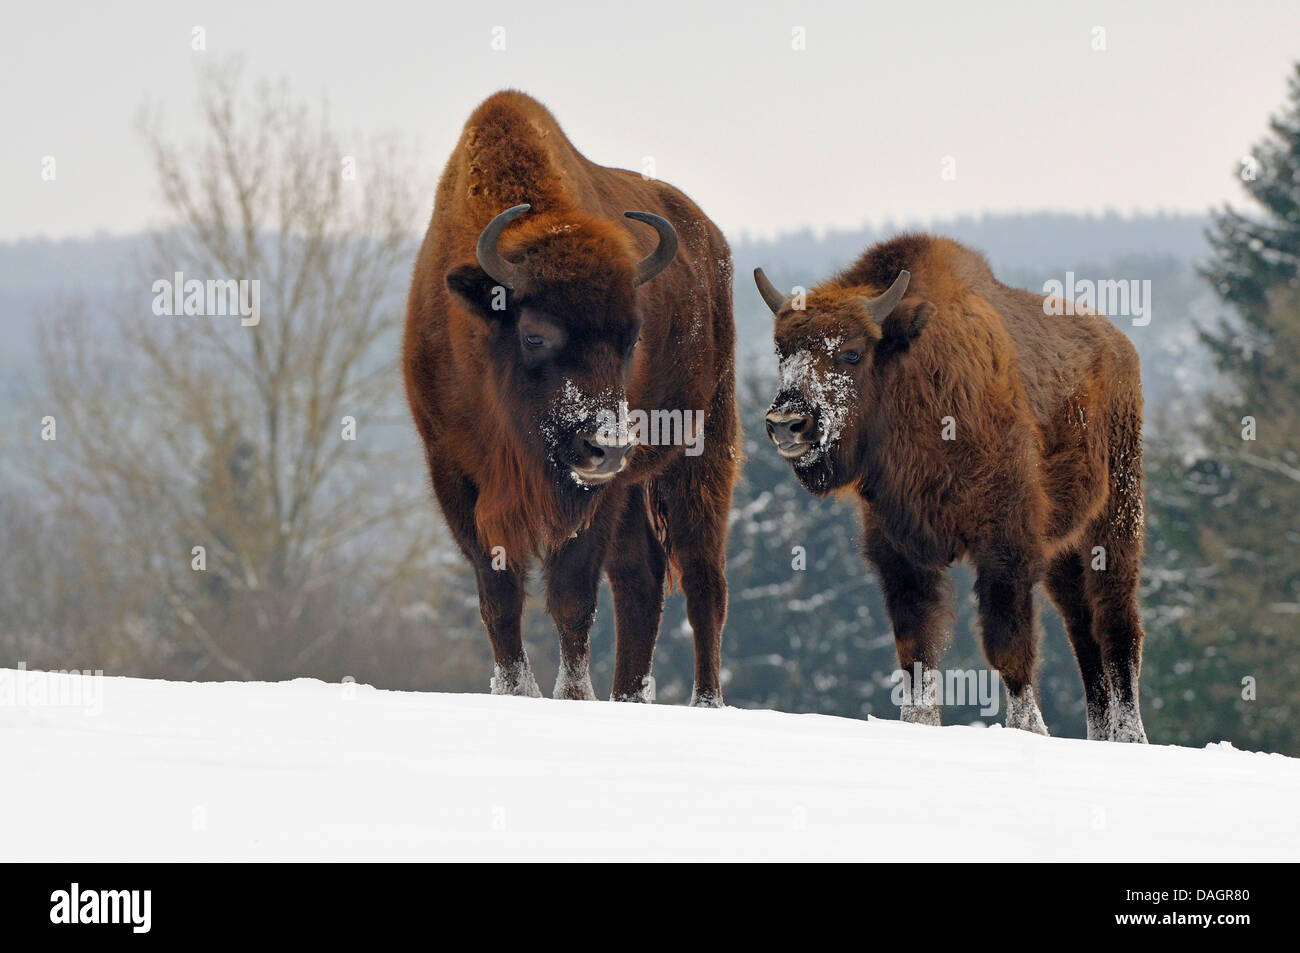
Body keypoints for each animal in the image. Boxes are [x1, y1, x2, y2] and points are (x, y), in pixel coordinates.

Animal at [404, 91, 738, 706]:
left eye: (632, 338)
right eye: (535, 334)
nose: (607, 446)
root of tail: (712, 239)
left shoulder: (593, 496)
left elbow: (571, 596)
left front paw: (573, 696)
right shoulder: (455, 473)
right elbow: (499, 596)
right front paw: (516, 691)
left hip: (700, 451)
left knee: (703, 578)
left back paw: (706, 701)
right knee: (641, 577)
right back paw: (629, 695)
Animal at [754, 234, 1148, 742]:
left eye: (852, 352)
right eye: (782, 351)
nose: (787, 423)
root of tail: (1121, 348)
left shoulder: (1005, 546)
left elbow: (1008, 645)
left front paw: (1028, 729)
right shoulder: (902, 553)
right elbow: (916, 652)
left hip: (1116, 516)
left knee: (1117, 623)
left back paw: (1130, 736)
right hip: (1065, 545)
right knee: (1081, 627)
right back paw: (1101, 736)